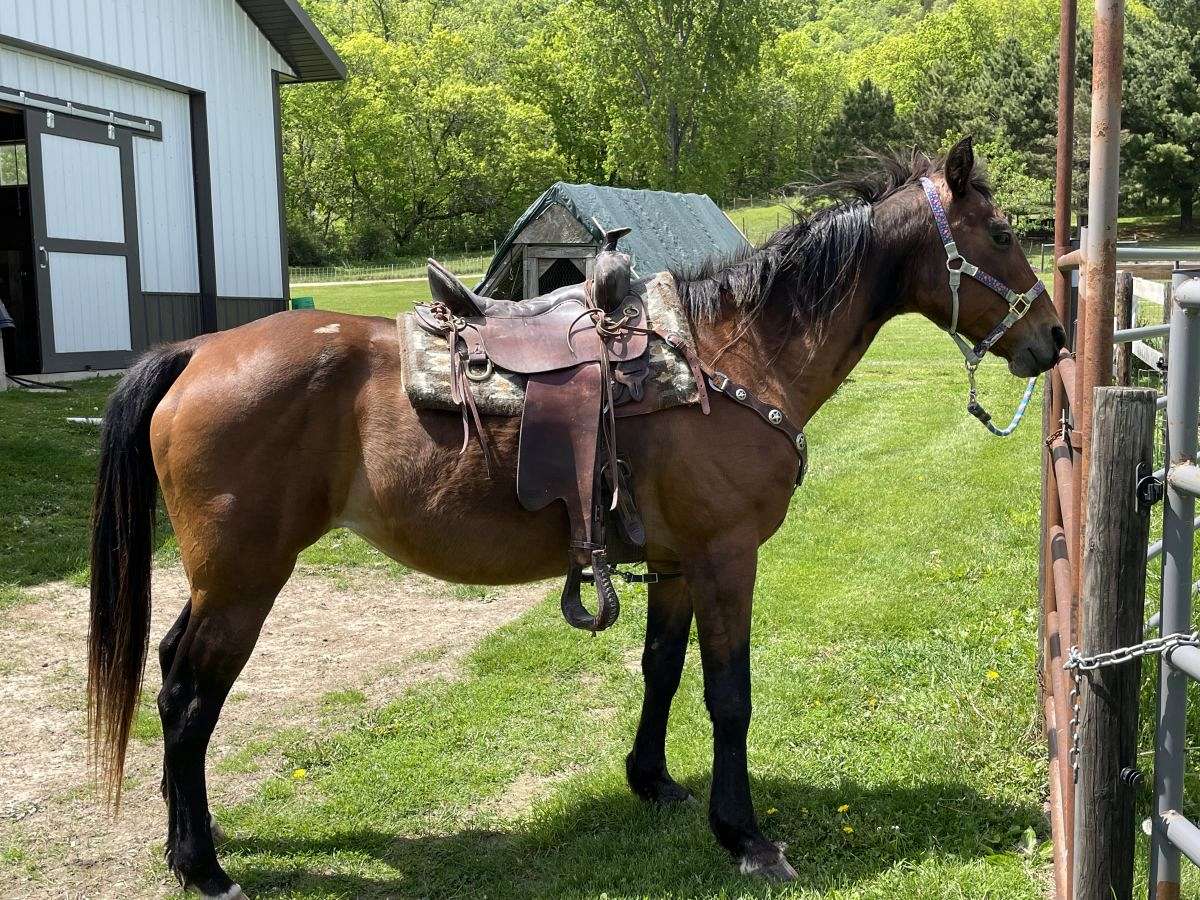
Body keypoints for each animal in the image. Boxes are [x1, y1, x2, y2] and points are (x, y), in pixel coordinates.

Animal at [87, 137, 1064, 898]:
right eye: (1002, 234)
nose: (1052, 339)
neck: (729, 359)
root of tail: (195, 352)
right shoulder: (727, 557)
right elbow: (730, 695)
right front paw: (746, 838)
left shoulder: (676, 562)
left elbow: (662, 671)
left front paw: (654, 782)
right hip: (244, 580)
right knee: (186, 697)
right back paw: (202, 865)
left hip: (222, 579)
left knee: (171, 674)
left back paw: (190, 841)